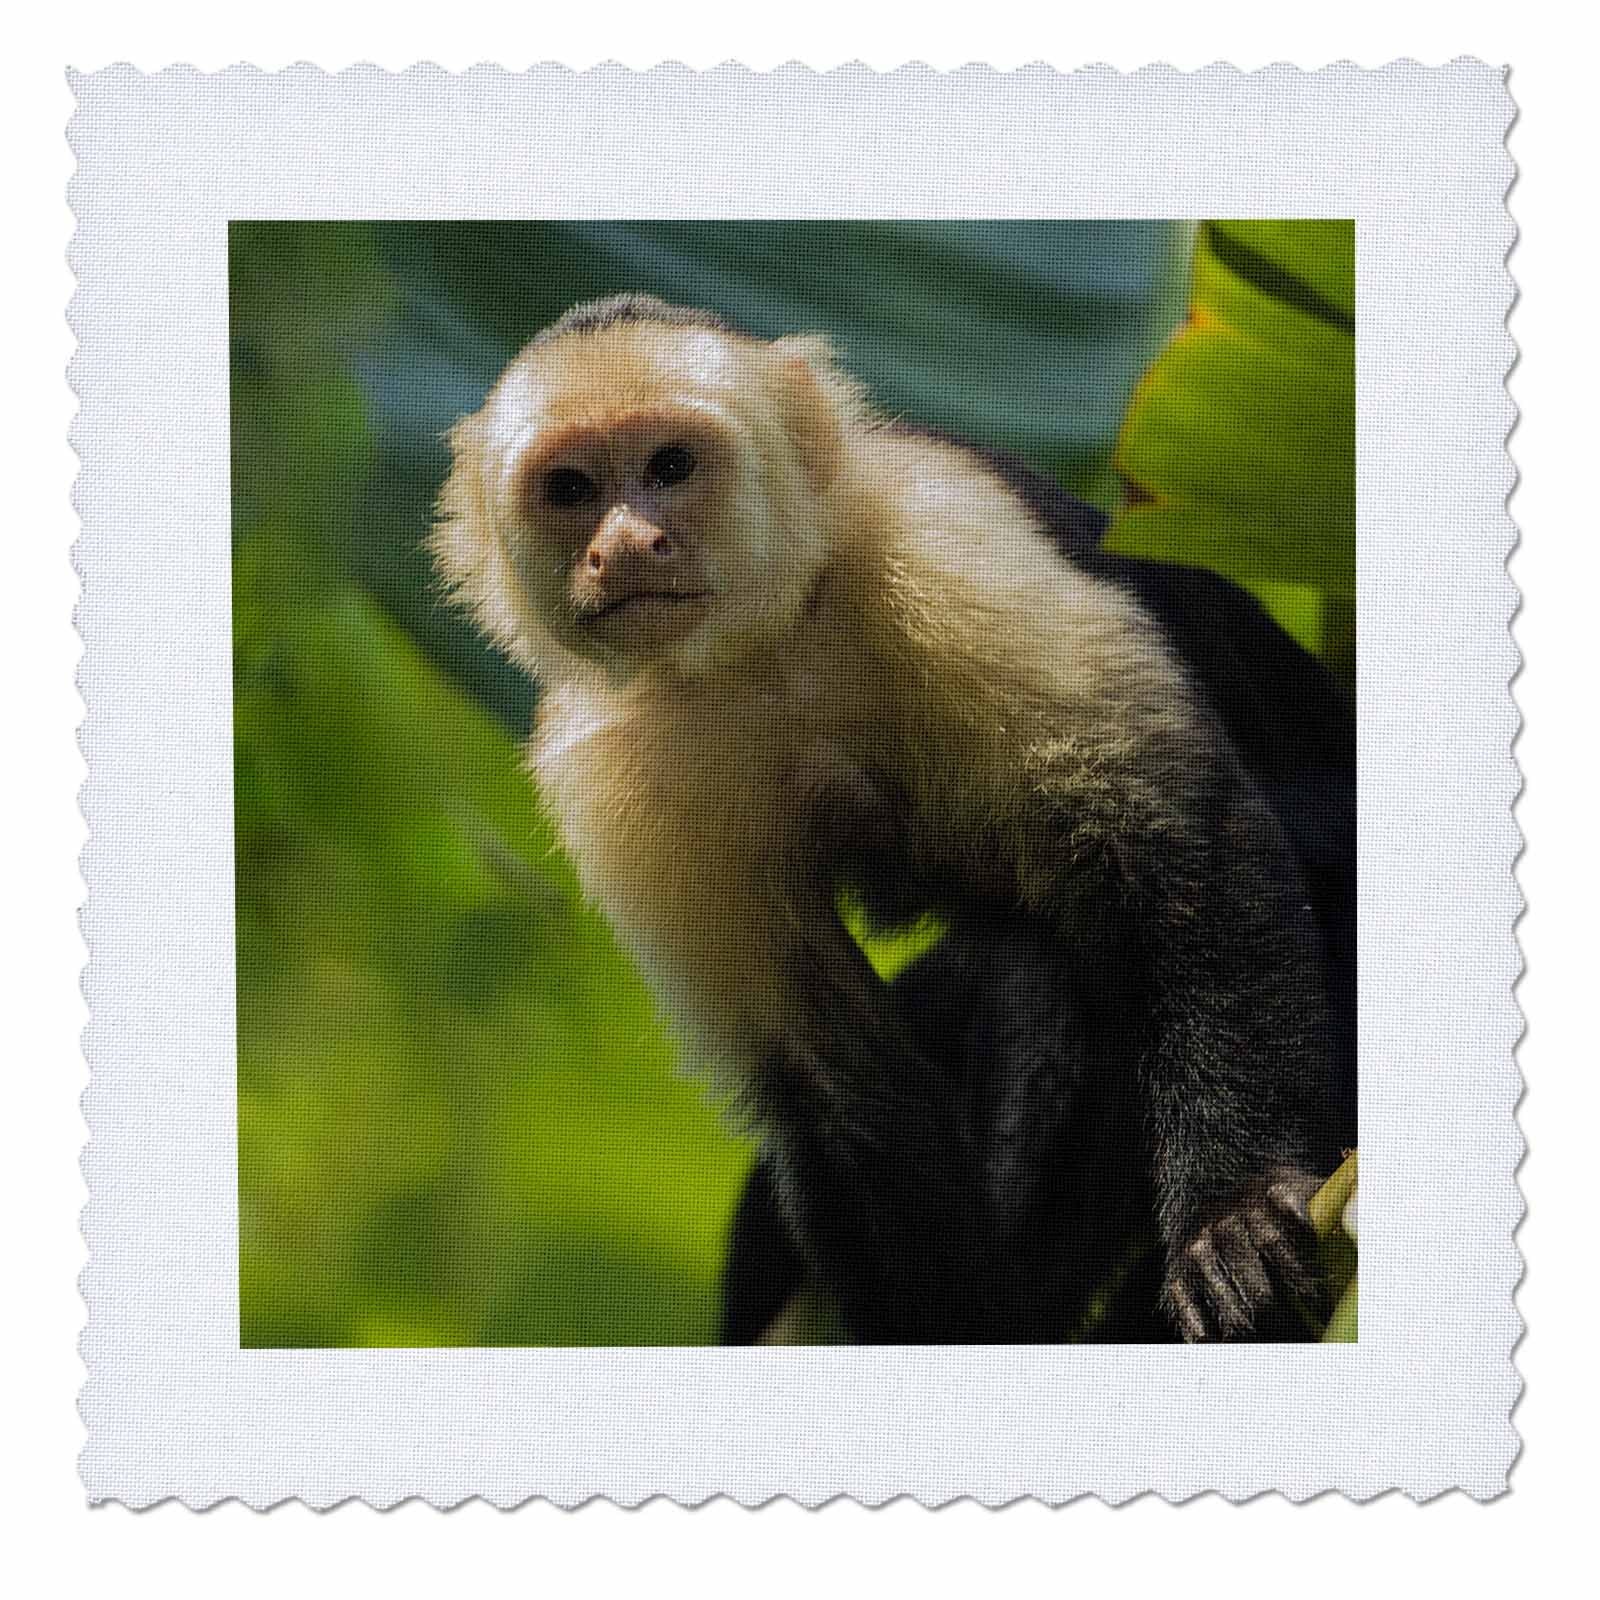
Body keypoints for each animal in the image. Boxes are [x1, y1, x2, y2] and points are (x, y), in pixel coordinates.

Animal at [433, 291, 1356, 1345]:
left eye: (670, 465)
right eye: (570, 487)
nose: (624, 544)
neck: (774, 643)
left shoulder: (941, 533)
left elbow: (1184, 842)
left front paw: (1232, 1212)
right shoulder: (610, 762)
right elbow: (824, 1070)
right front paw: (959, 1324)